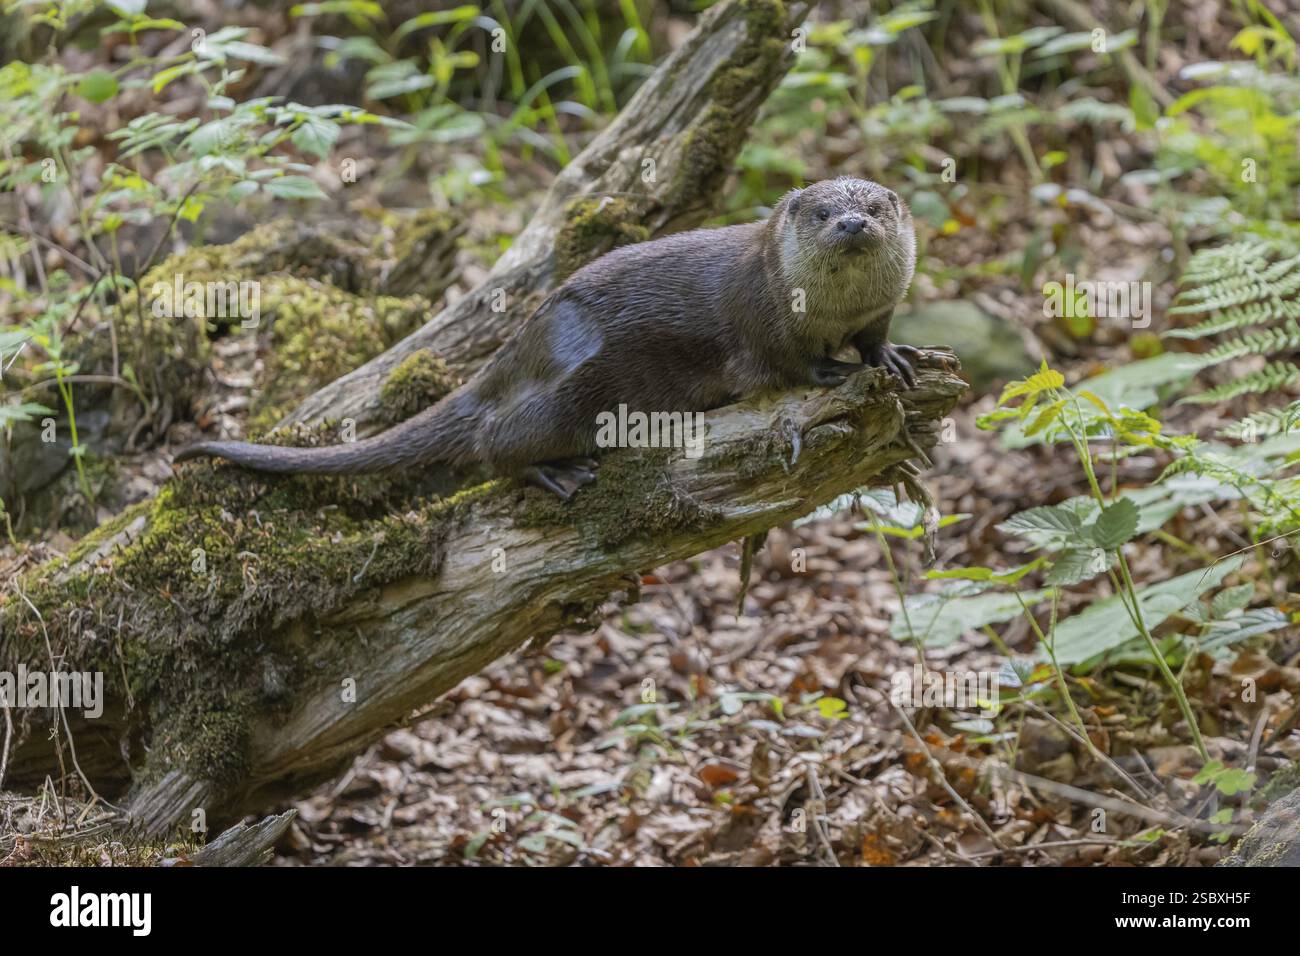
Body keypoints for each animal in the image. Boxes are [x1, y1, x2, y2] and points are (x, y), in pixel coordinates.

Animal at [175, 177, 920, 500]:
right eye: (821, 212)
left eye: (875, 206)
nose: (852, 222)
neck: (827, 311)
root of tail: (518, 348)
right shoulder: (762, 314)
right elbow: (784, 364)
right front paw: (828, 374)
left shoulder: (877, 309)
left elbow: (876, 336)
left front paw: (891, 357)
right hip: (571, 389)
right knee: (492, 442)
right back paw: (556, 473)